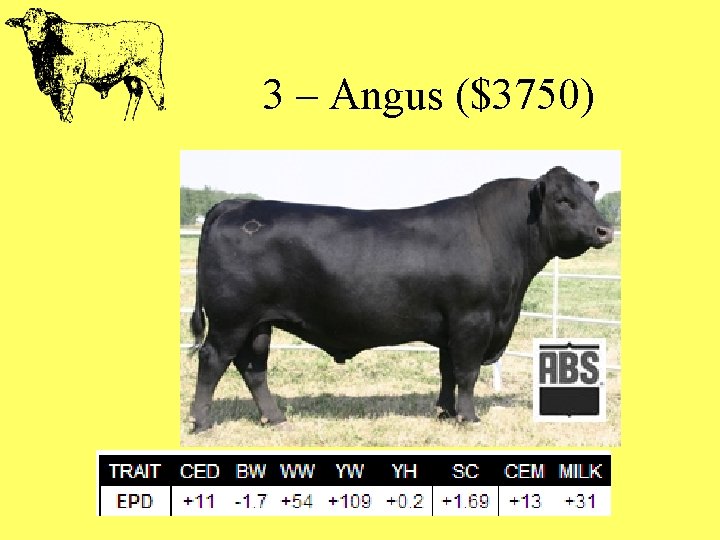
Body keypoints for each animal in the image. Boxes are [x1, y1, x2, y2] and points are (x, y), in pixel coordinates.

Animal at [6, 8, 164, 122]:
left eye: (44, 26)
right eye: (26, 26)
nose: (34, 43)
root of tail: (153, 26)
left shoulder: (68, 83)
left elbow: (64, 108)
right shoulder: (54, 87)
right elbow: (62, 110)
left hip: (152, 74)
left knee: (159, 95)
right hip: (130, 75)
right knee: (136, 92)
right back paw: (127, 119)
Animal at [189, 166, 614, 432]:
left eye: (590, 196)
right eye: (562, 200)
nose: (604, 230)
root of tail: (237, 204)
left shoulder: (451, 327)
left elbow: (447, 371)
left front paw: (445, 412)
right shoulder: (473, 320)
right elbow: (467, 372)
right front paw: (469, 418)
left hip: (258, 323)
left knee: (252, 367)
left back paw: (275, 419)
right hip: (231, 319)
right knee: (213, 361)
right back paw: (201, 422)